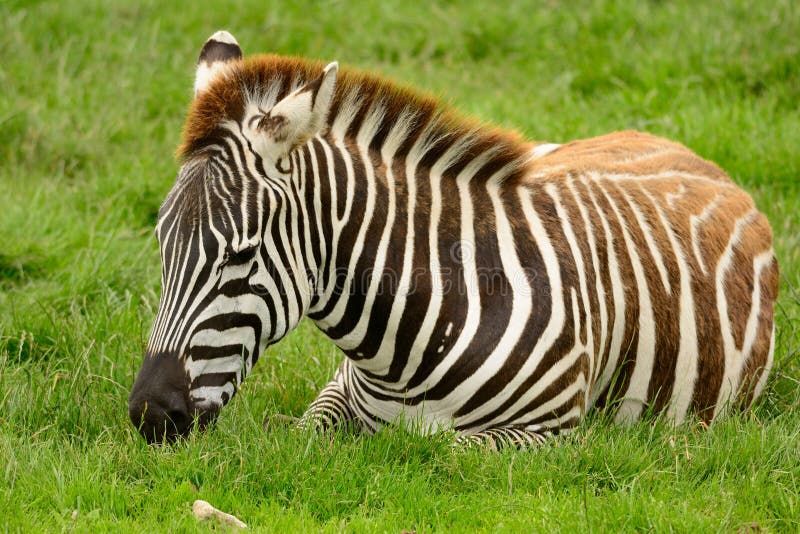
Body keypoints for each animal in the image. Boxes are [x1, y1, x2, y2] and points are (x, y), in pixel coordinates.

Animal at [129, 31, 779, 448]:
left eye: (239, 256)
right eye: (161, 246)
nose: (149, 416)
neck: (401, 354)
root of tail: (692, 154)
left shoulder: (548, 435)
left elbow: (432, 450)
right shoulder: (334, 397)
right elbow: (305, 437)